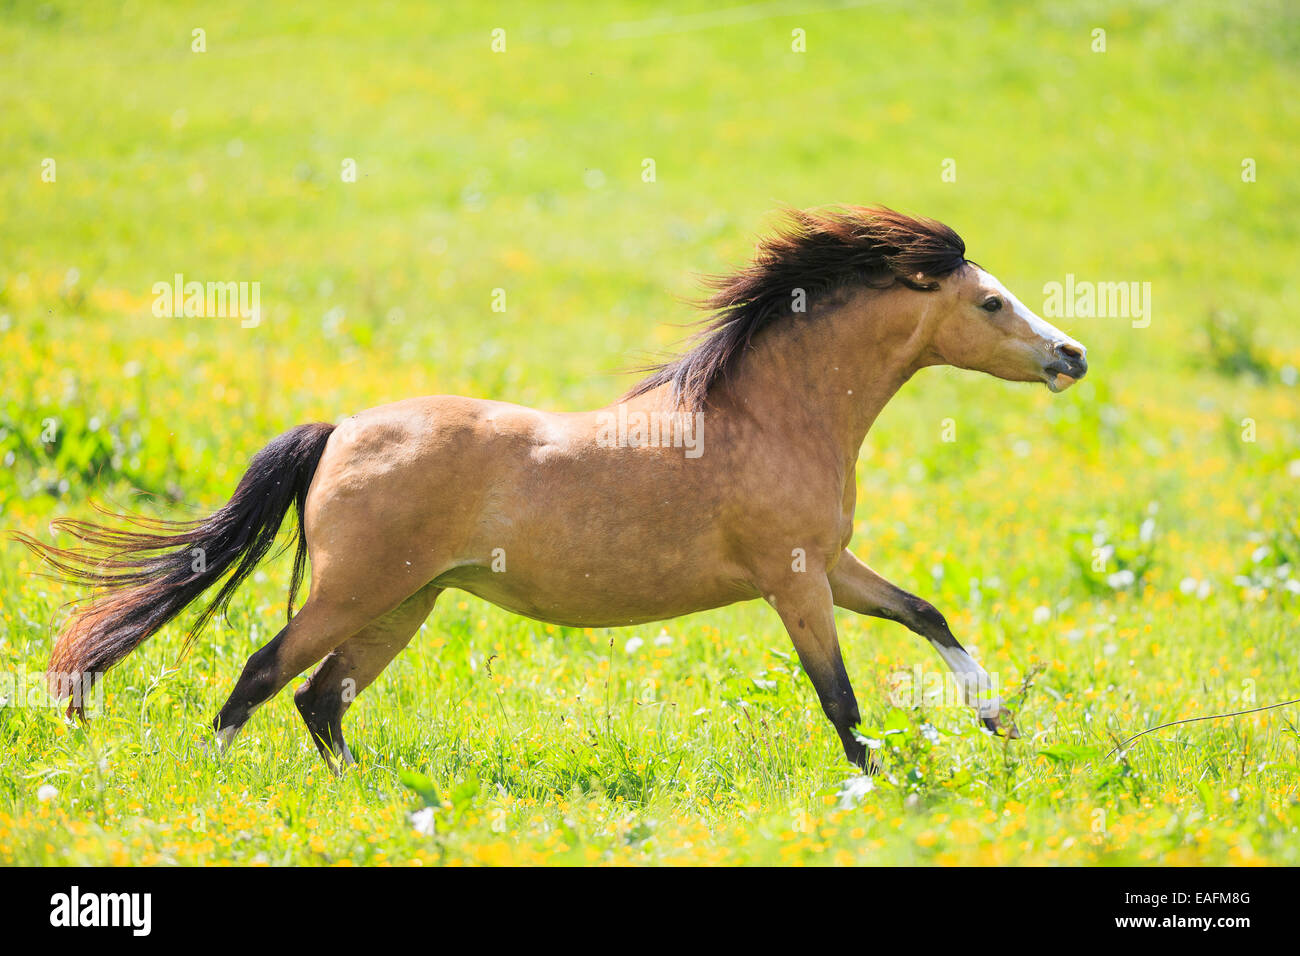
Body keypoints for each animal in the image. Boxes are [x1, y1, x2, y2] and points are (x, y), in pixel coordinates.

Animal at [17, 205, 1088, 774]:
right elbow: (842, 699)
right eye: (992, 301)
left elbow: (925, 612)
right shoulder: (793, 580)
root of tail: (342, 431)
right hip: (357, 593)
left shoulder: (829, 564)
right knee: (259, 675)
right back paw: (228, 783)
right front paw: (880, 787)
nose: (1072, 354)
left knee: (319, 701)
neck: (776, 418)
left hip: (405, 602)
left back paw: (361, 792)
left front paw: (997, 719)